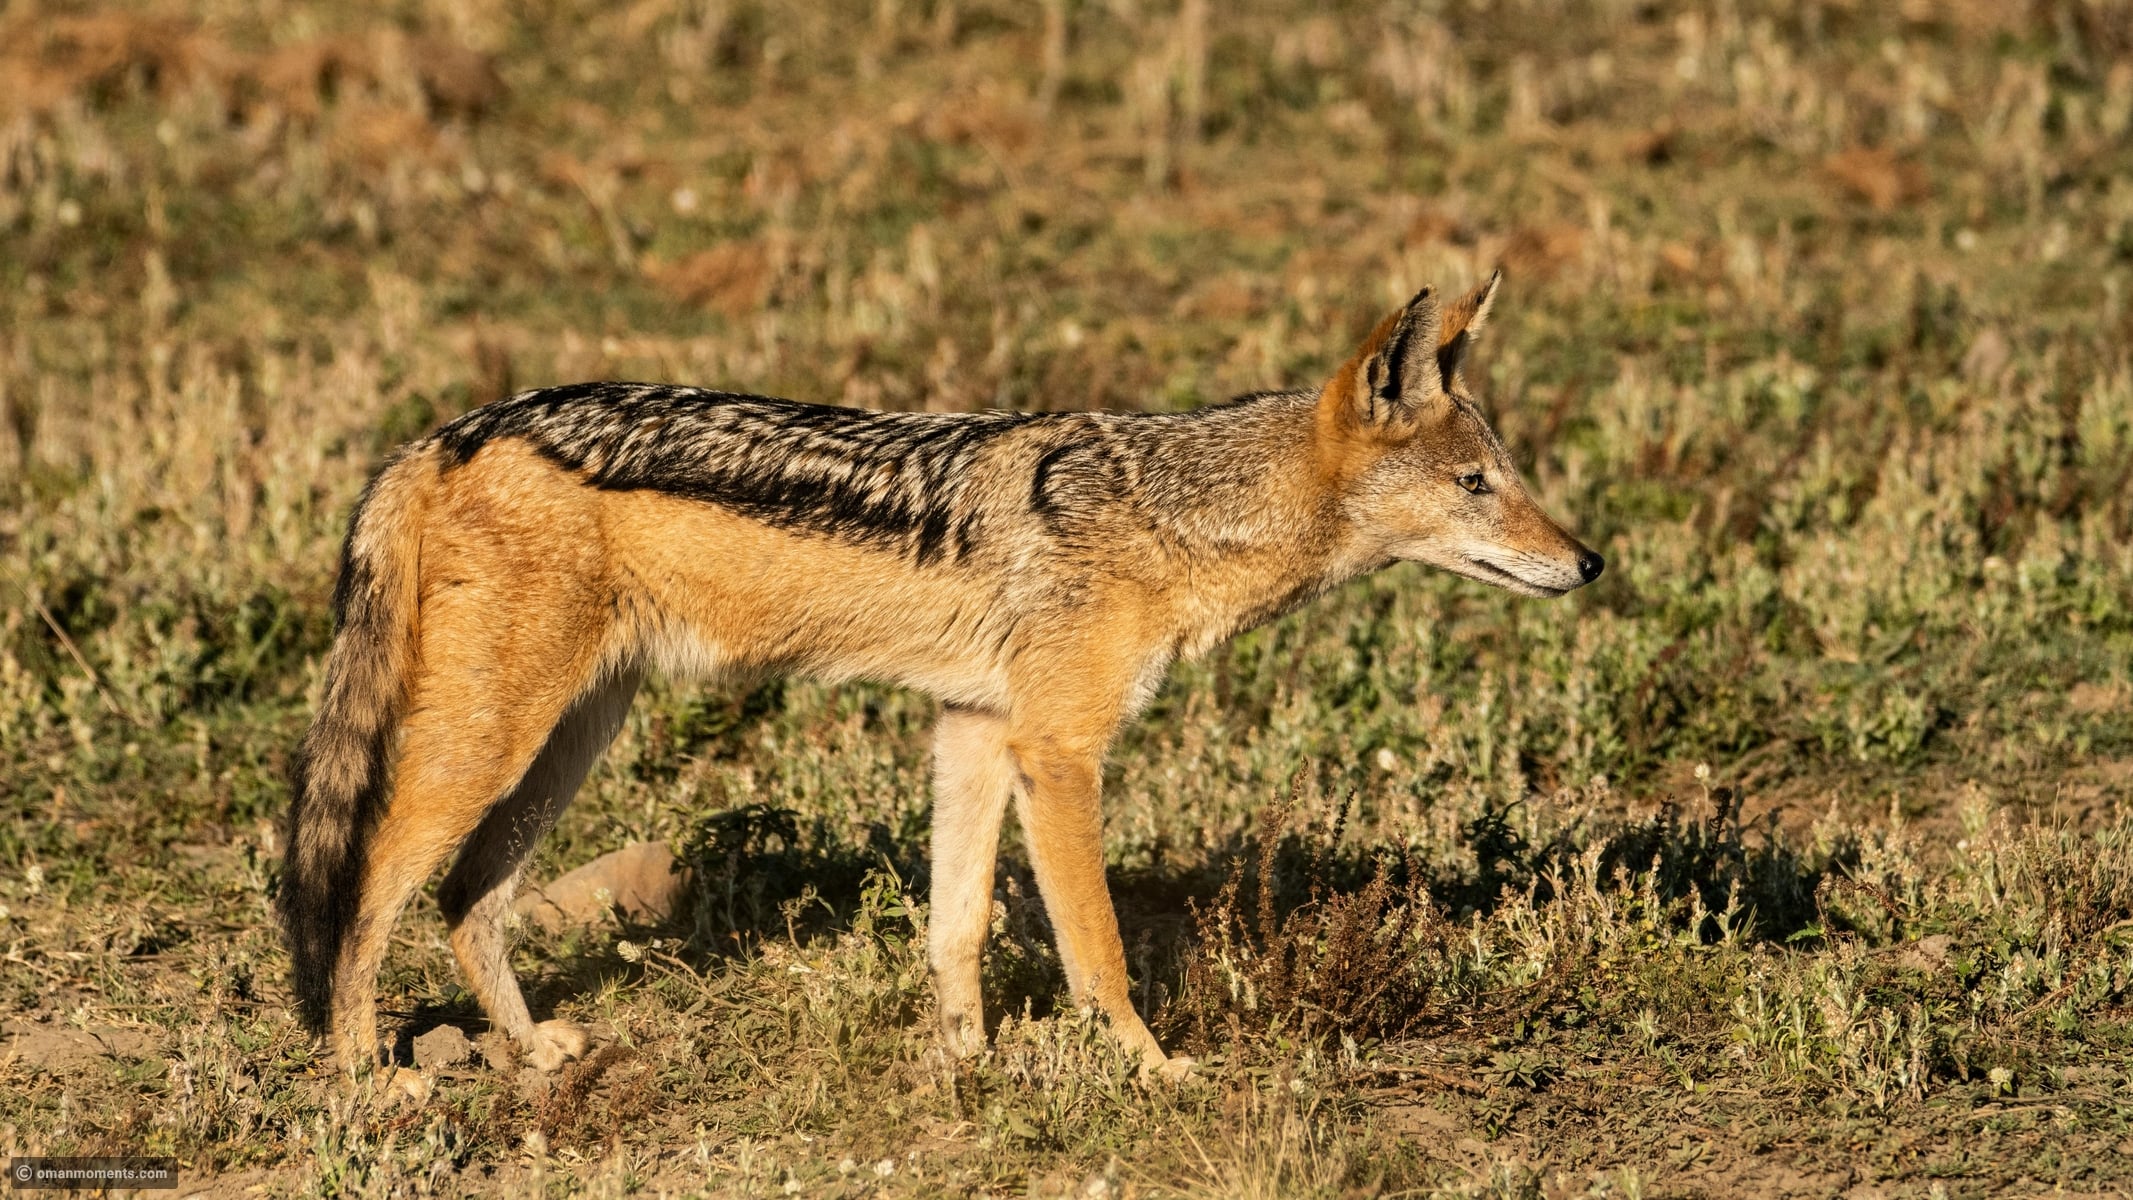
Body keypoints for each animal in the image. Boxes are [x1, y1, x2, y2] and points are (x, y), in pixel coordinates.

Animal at [278, 272, 1602, 1081]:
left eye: (1512, 475)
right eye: (1477, 485)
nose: (1589, 561)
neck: (1172, 516)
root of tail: (444, 433)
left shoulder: (973, 727)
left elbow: (954, 926)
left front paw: (968, 1066)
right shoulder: (1059, 752)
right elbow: (1097, 951)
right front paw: (1152, 1071)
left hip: (565, 742)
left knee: (467, 898)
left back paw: (531, 1054)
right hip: (492, 741)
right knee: (369, 884)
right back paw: (361, 1078)